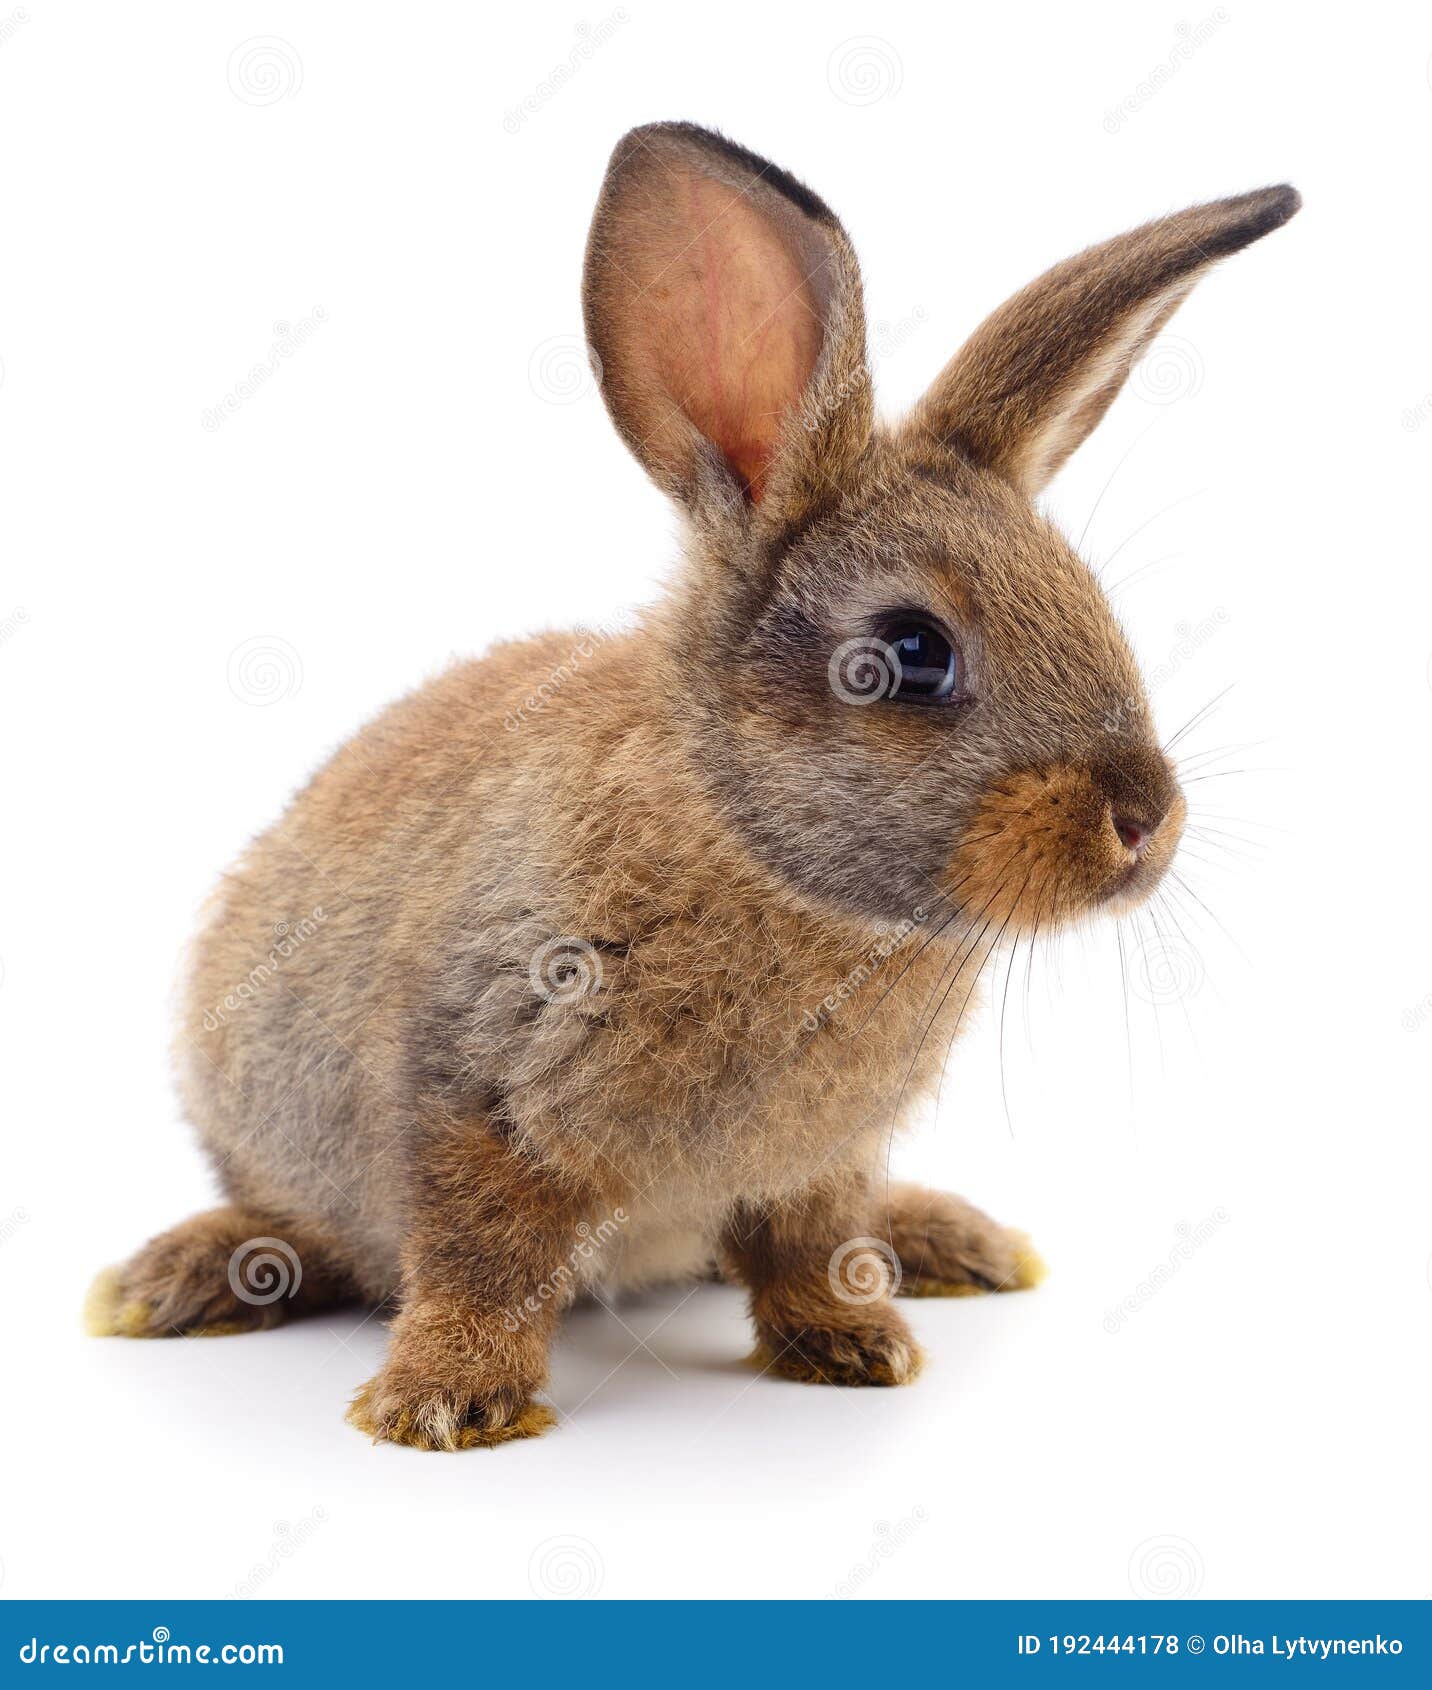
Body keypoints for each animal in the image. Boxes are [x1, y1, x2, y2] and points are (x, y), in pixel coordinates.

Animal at [87, 123, 1298, 1449]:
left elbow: (810, 1247)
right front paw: (441, 1406)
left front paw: (855, 1345)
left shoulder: (819, 1162)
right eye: (911, 651)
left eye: (1093, 606)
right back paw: (178, 1276)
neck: (753, 852)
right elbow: (479, 1258)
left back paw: (947, 1242)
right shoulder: (475, 1090)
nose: (1145, 821)